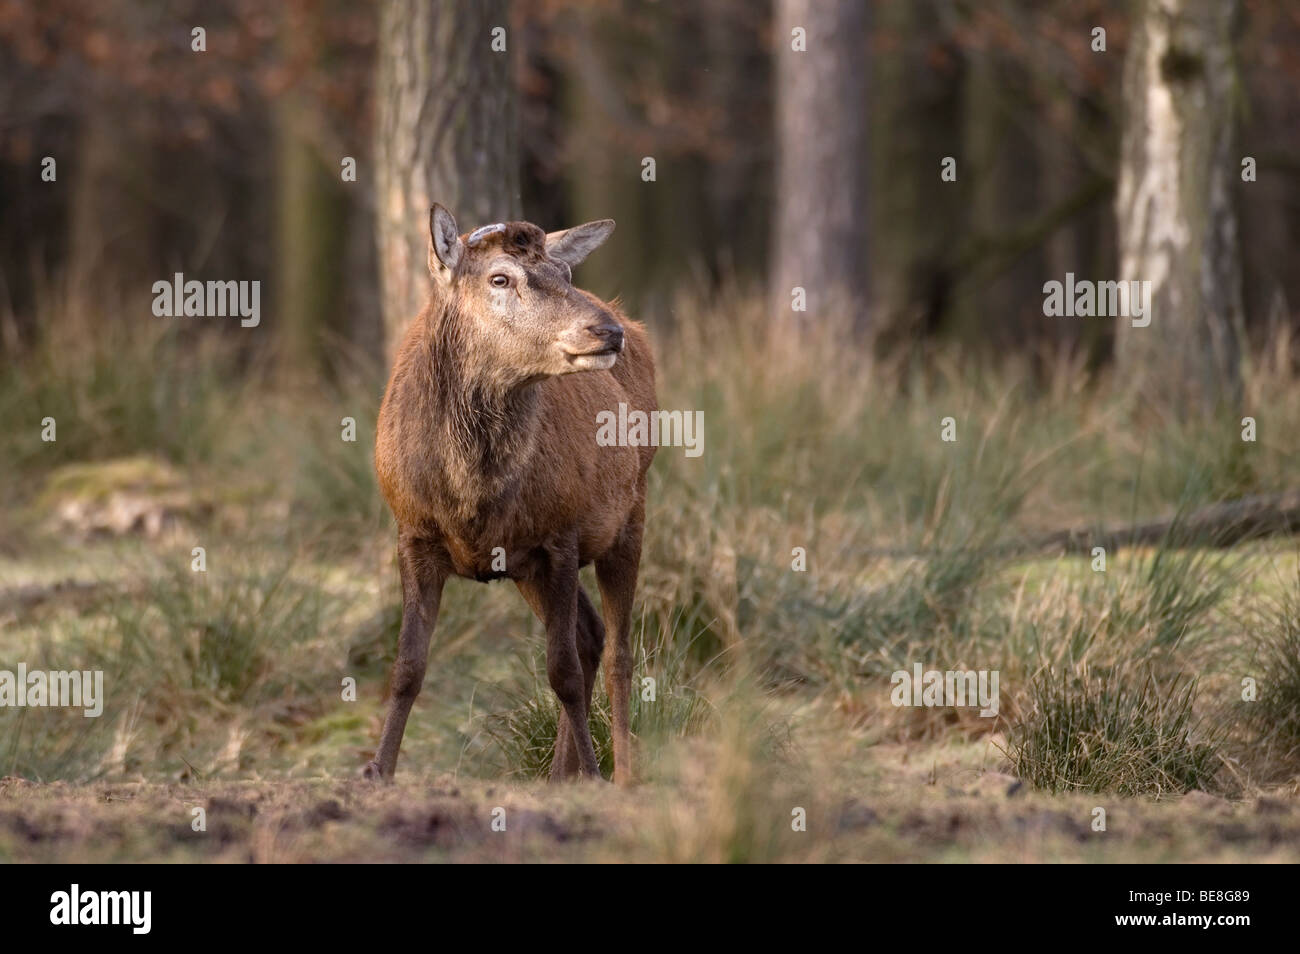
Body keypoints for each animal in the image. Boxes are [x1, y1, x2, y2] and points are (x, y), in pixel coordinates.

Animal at [363, 204, 657, 785]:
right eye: (500, 278)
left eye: (565, 273)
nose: (607, 331)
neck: (471, 496)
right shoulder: (411, 531)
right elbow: (407, 666)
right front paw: (377, 770)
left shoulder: (560, 535)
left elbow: (561, 671)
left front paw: (594, 773)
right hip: (526, 568)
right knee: (591, 635)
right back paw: (560, 773)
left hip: (629, 513)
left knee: (617, 651)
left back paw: (620, 773)